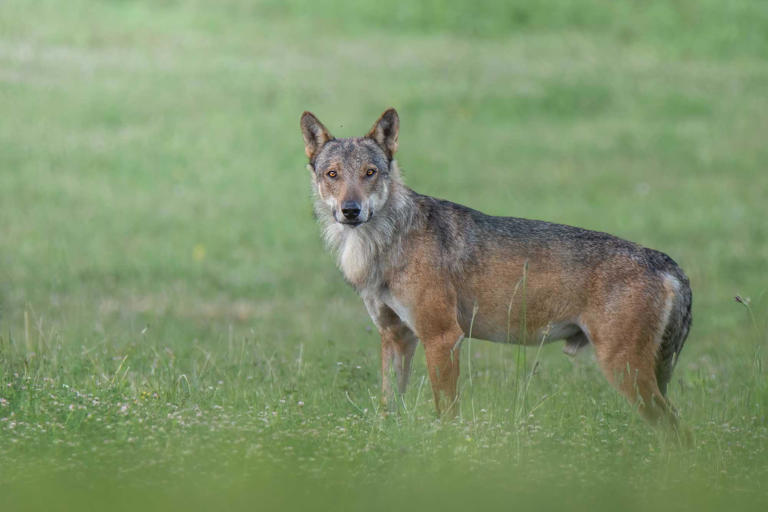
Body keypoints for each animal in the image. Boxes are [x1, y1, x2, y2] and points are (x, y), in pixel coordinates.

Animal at [300, 108, 692, 431]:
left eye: (370, 173)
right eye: (333, 174)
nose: (351, 211)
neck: (383, 244)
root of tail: (666, 263)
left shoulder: (443, 338)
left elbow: (447, 417)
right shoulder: (396, 338)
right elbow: (387, 410)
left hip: (625, 371)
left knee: (679, 432)